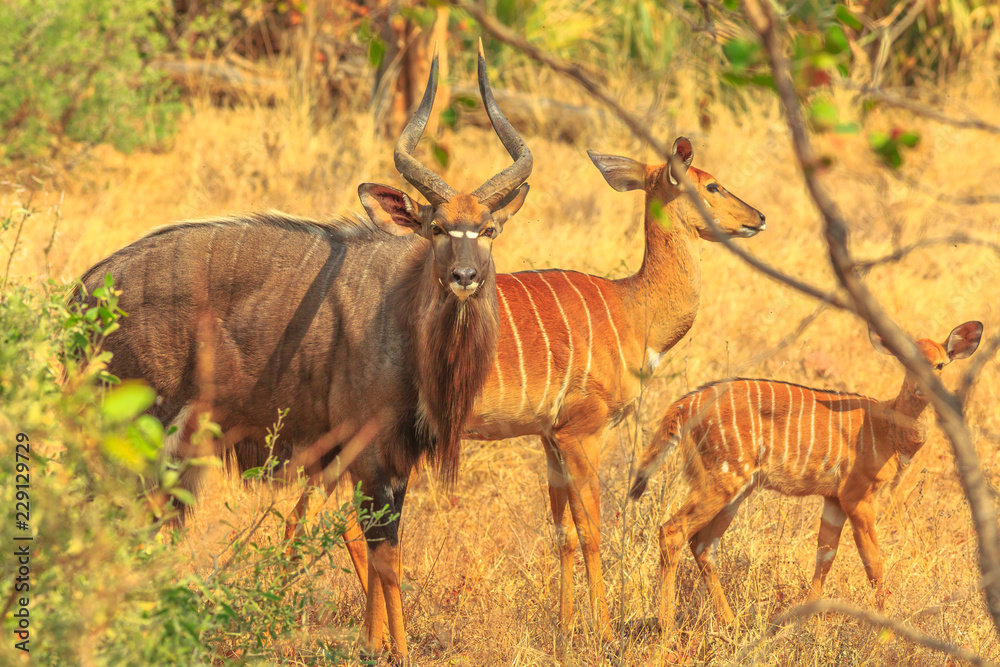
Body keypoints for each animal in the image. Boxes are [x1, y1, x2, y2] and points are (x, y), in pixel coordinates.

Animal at [78, 45, 531, 662]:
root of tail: (84, 289)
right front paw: (396, 650)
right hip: (144, 435)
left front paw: (373, 642)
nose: (464, 278)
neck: (402, 314)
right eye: (437, 227)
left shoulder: (381, 460)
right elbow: (385, 552)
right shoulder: (372, 452)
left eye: (488, 230)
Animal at [319, 136, 766, 643]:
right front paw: (604, 633)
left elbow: (562, 532)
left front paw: (567, 626)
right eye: (712, 184)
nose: (757, 217)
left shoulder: (549, 435)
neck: (633, 308)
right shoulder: (583, 431)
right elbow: (591, 529)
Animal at [629, 321, 983, 633]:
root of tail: (683, 406)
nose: (922, 389)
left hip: (736, 489)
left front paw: (807, 615)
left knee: (702, 544)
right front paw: (887, 628)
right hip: (722, 479)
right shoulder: (857, 495)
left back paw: (730, 624)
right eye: (906, 362)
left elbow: (825, 554)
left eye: (940, 364)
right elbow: (873, 562)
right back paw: (667, 629)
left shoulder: (834, 498)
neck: (888, 430)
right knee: (672, 531)